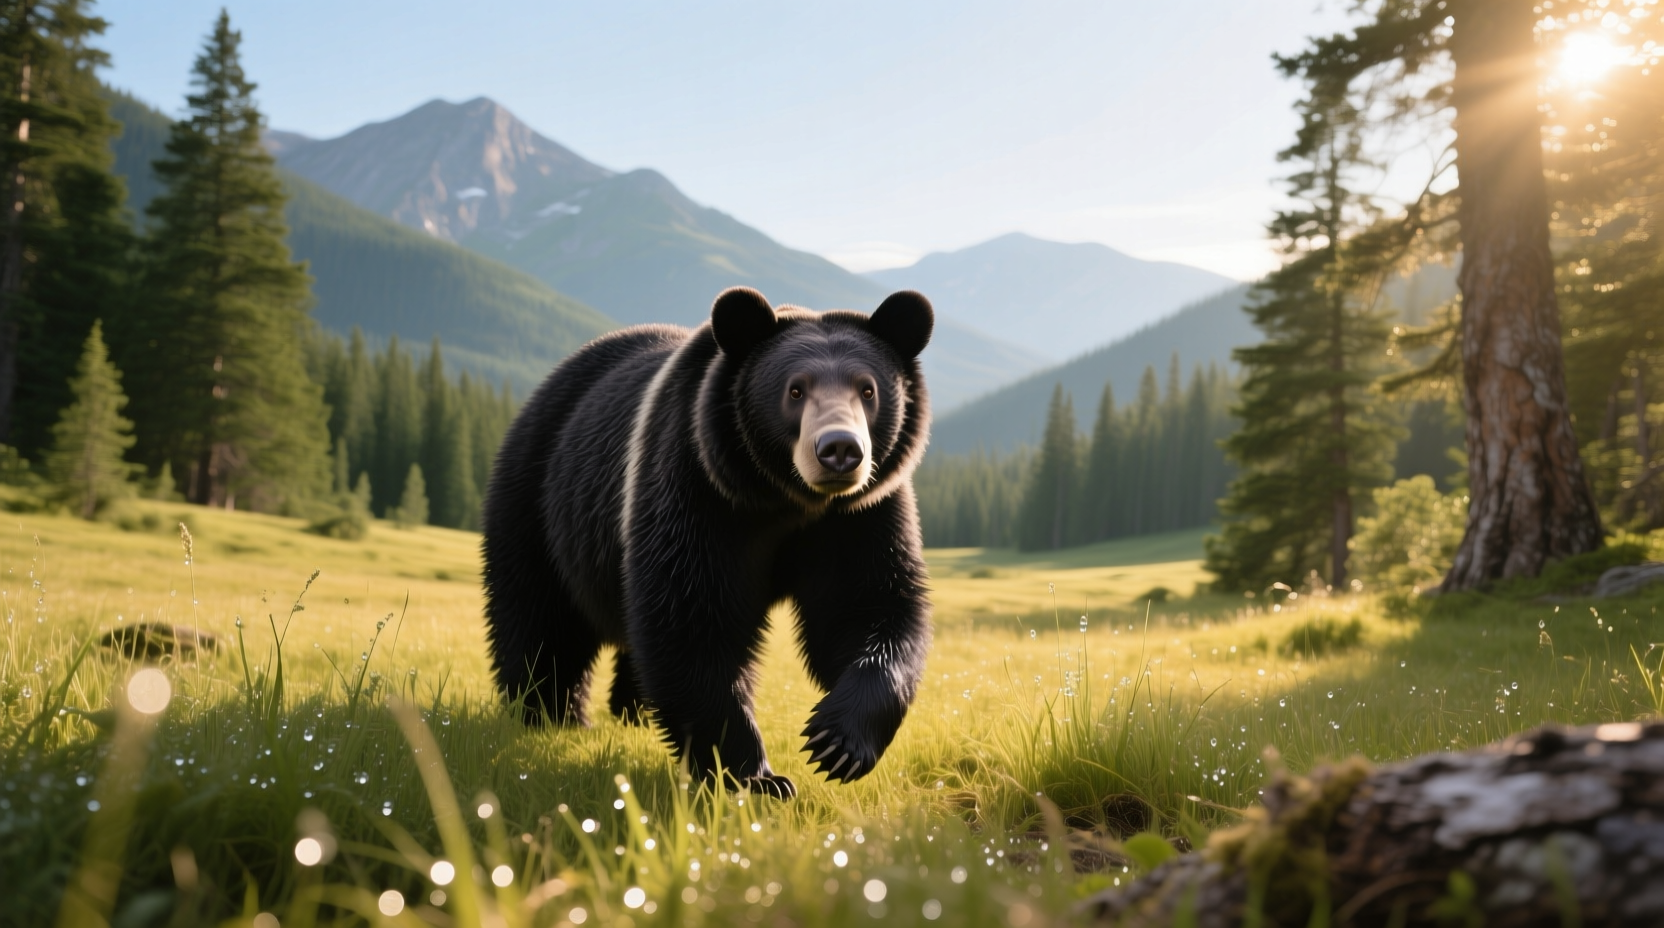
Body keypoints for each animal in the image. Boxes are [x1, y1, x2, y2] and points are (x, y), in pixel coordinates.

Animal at [481, 286, 935, 798]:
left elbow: (869, 609)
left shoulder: (859, 517)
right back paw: (547, 714)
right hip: (540, 497)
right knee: (540, 615)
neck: (786, 500)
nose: (839, 449)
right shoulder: (698, 490)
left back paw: (632, 711)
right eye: (795, 390)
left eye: (868, 389)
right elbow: (691, 620)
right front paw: (755, 775)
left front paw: (837, 742)